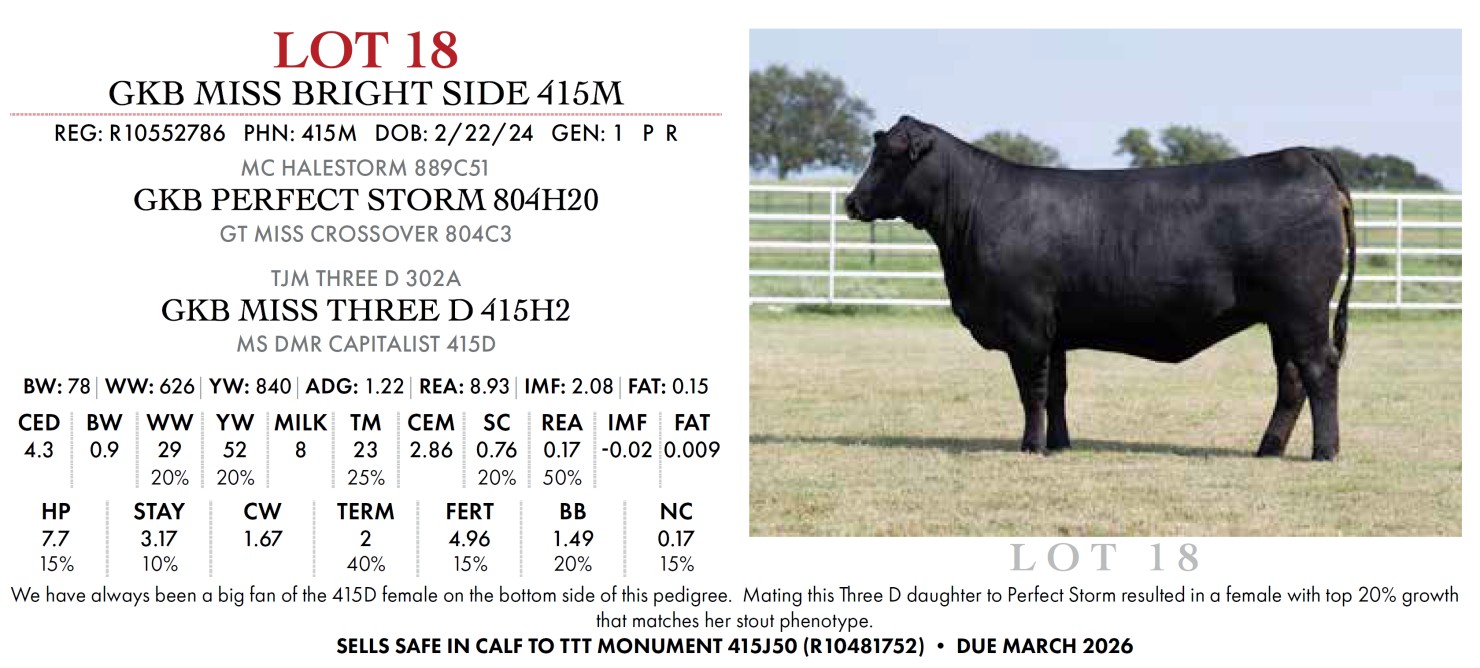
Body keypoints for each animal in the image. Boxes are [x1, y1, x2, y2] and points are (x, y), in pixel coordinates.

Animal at [844, 116, 1355, 461]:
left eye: (887, 157)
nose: (851, 202)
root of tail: (1302, 154)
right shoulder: (1055, 331)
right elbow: (1056, 390)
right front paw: (1059, 444)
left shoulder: (1026, 326)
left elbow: (1031, 390)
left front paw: (1031, 446)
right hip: (1281, 319)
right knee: (1290, 379)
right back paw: (1268, 447)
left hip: (1302, 310)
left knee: (1318, 369)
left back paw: (1324, 451)